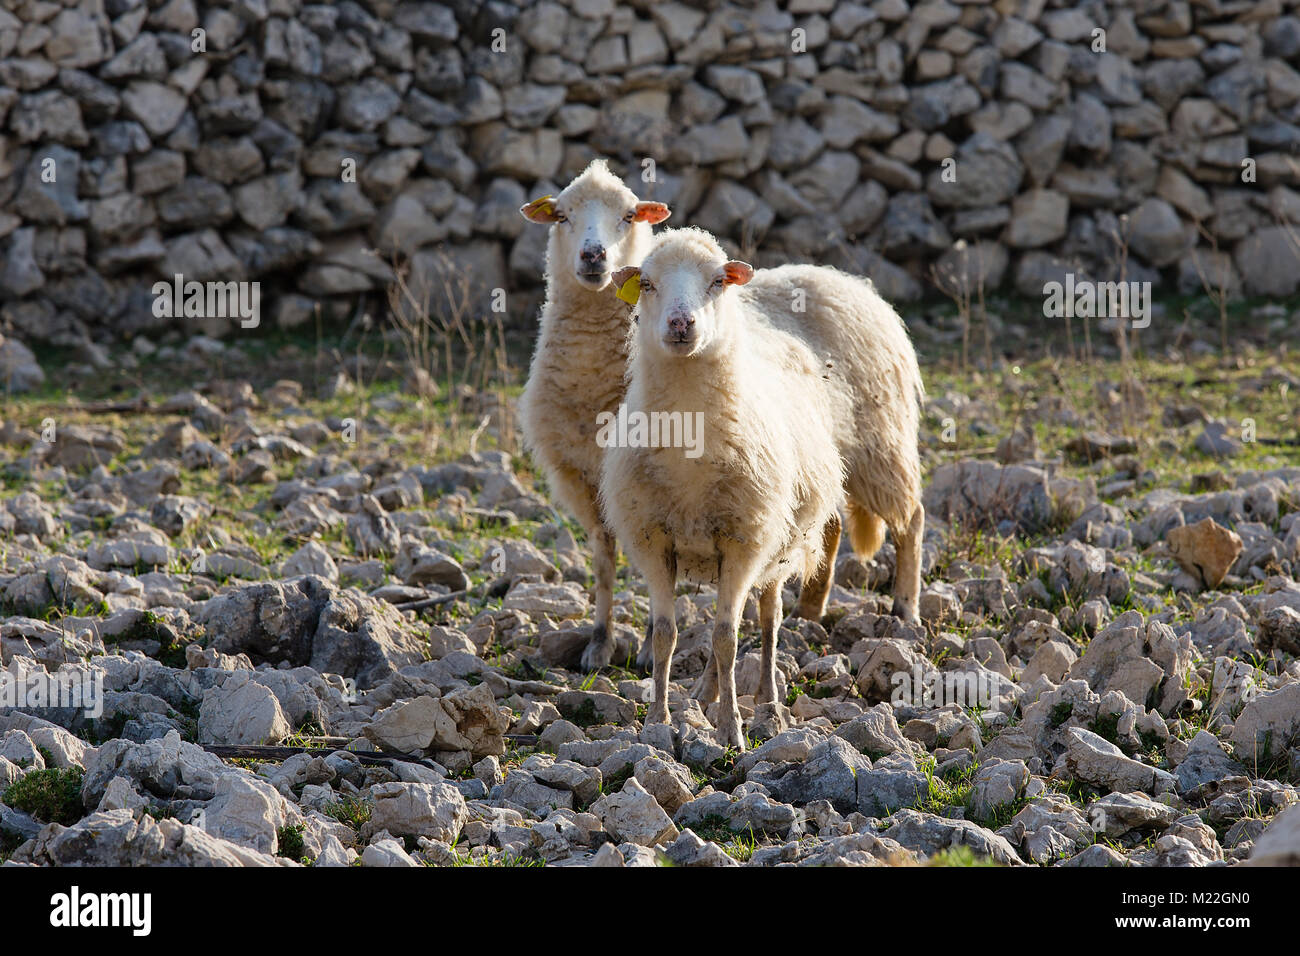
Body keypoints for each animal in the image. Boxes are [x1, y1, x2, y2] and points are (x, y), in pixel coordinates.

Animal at [517, 159, 671, 670]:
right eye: (563, 216)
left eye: (628, 216)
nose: (592, 255)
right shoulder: (579, 476)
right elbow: (604, 562)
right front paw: (599, 643)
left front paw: (649, 646)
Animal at [602, 227, 846, 748]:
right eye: (647, 283)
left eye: (717, 281)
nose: (680, 323)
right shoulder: (654, 540)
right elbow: (666, 635)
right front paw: (658, 721)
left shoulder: (743, 540)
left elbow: (728, 638)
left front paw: (732, 729)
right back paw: (705, 693)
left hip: (777, 549)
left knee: (768, 621)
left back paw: (768, 702)